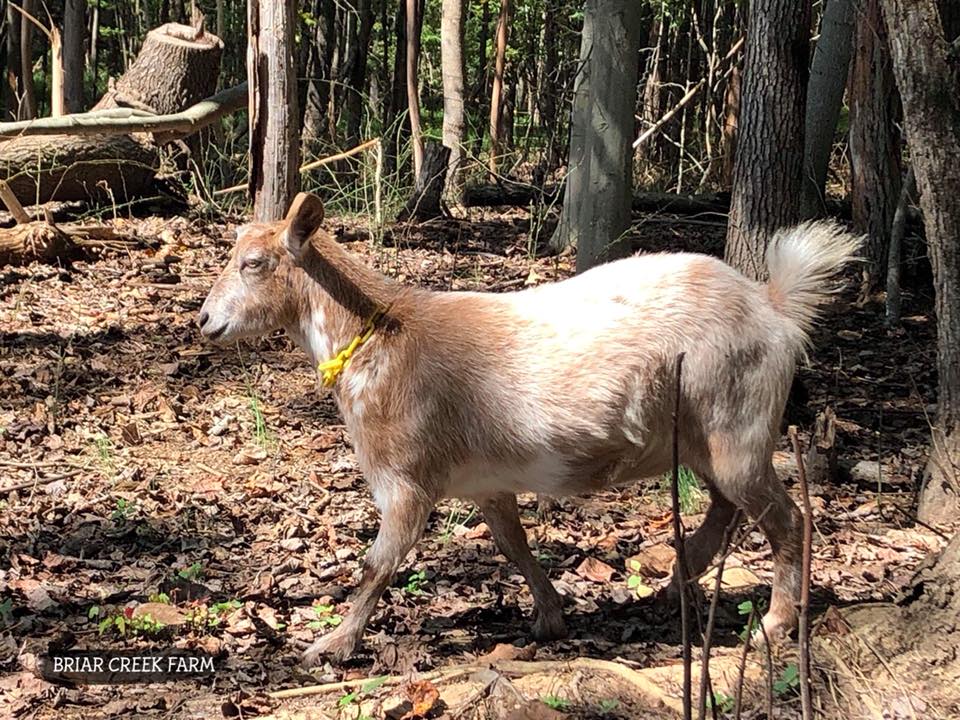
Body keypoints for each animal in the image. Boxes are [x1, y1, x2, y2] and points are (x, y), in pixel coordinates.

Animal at [198, 192, 860, 666]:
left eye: (254, 264)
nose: (205, 320)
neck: (380, 336)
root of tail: (774, 305)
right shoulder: (485, 483)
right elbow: (513, 545)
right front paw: (549, 616)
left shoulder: (405, 479)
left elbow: (378, 562)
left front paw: (331, 646)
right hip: (706, 436)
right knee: (725, 503)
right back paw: (679, 576)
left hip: (738, 427)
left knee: (783, 516)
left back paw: (774, 620)